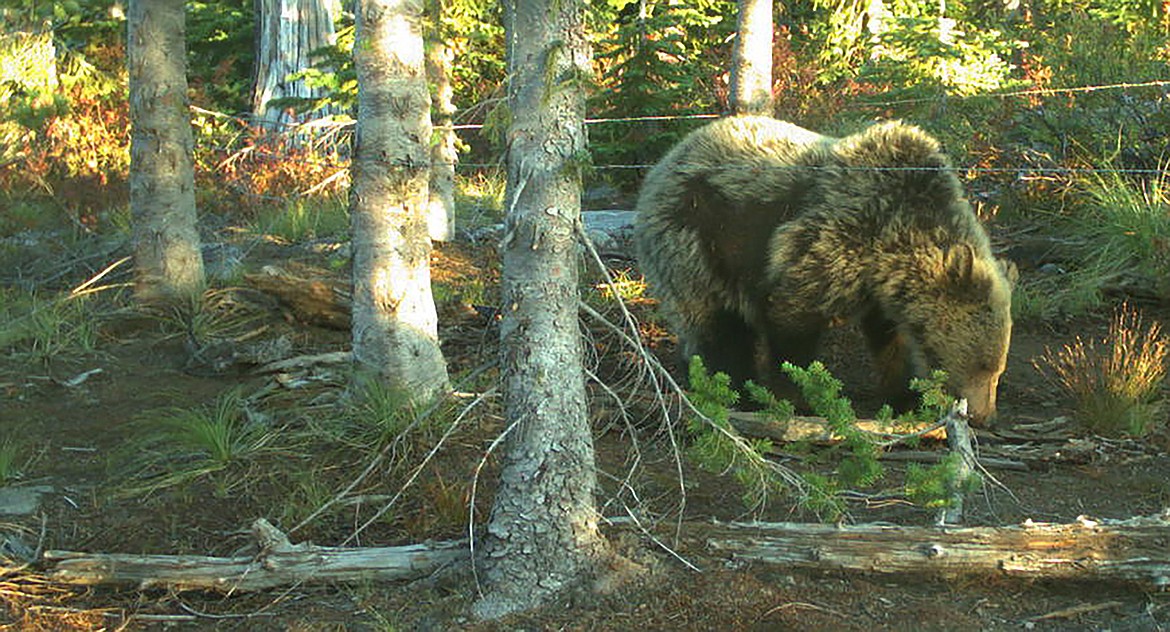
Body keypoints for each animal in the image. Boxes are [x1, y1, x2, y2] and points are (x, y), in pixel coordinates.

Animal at [633, 115, 1017, 426]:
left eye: (998, 367)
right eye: (983, 364)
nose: (987, 417)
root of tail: (665, 160)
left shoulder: (882, 290)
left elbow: (889, 340)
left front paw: (905, 396)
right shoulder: (830, 238)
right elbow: (793, 320)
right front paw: (798, 396)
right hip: (696, 236)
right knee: (716, 323)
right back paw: (732, 387)